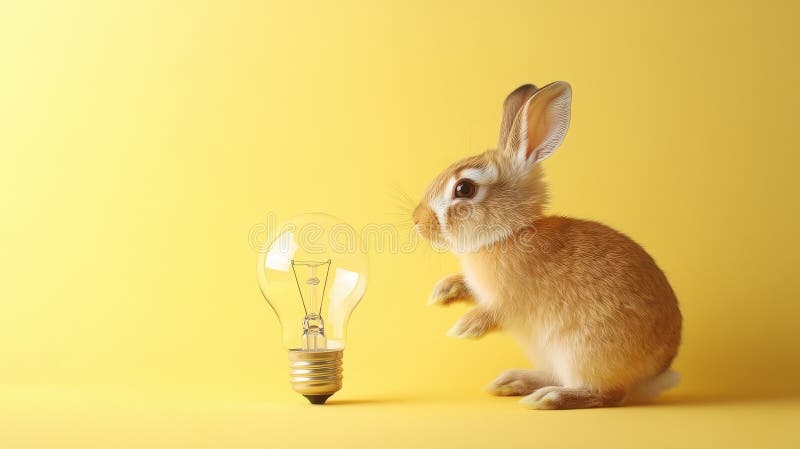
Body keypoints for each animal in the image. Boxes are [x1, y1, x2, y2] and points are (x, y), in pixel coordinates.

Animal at [412, 82, 682, 409]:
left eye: (464, 188)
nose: (417, 221)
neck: (508, 233)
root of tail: (652, 375)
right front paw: (443, 292)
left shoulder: (510, 298)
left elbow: (495, 312)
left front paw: (463, 328)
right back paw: (513, 382)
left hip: (580, 352)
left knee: (608, 394)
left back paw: (548, 398)